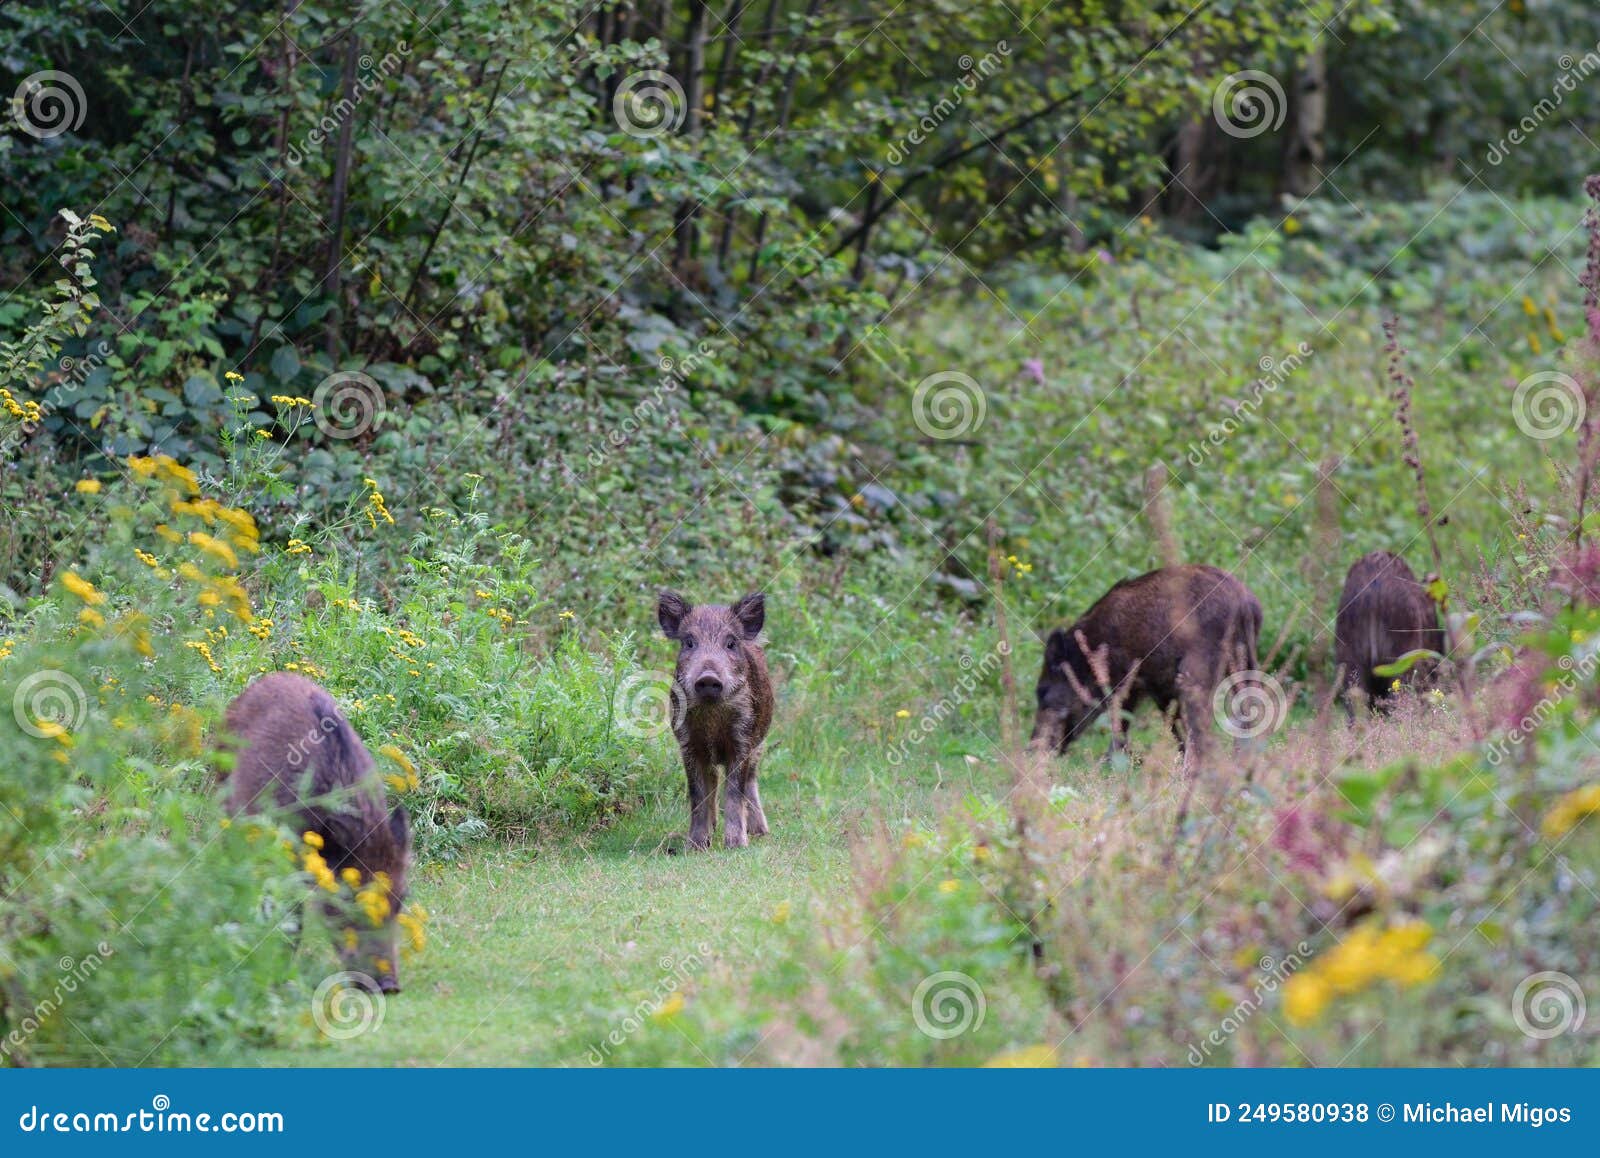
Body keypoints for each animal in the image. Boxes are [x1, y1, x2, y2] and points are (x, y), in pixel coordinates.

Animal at [657, 590, 774, 850]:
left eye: (730, 643)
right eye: (689, 642)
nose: (708, 677)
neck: (712, 722)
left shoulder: (743, 740)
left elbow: (735, 793)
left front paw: (736, 845)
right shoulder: (688, 744)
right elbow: (698, 794)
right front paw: (696, 846)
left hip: (759, 744)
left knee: (750, 781)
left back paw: (760, 832)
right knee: (713, 781)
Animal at [1030, 564, 1263, 759]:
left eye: (1042, 691)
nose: (1031, 749)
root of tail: (1245, 602)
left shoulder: (1131, 683)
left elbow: (1122, 722)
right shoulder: (1156, 687)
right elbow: (1168, 721)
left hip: (1198, 669)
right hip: (1244, 661)